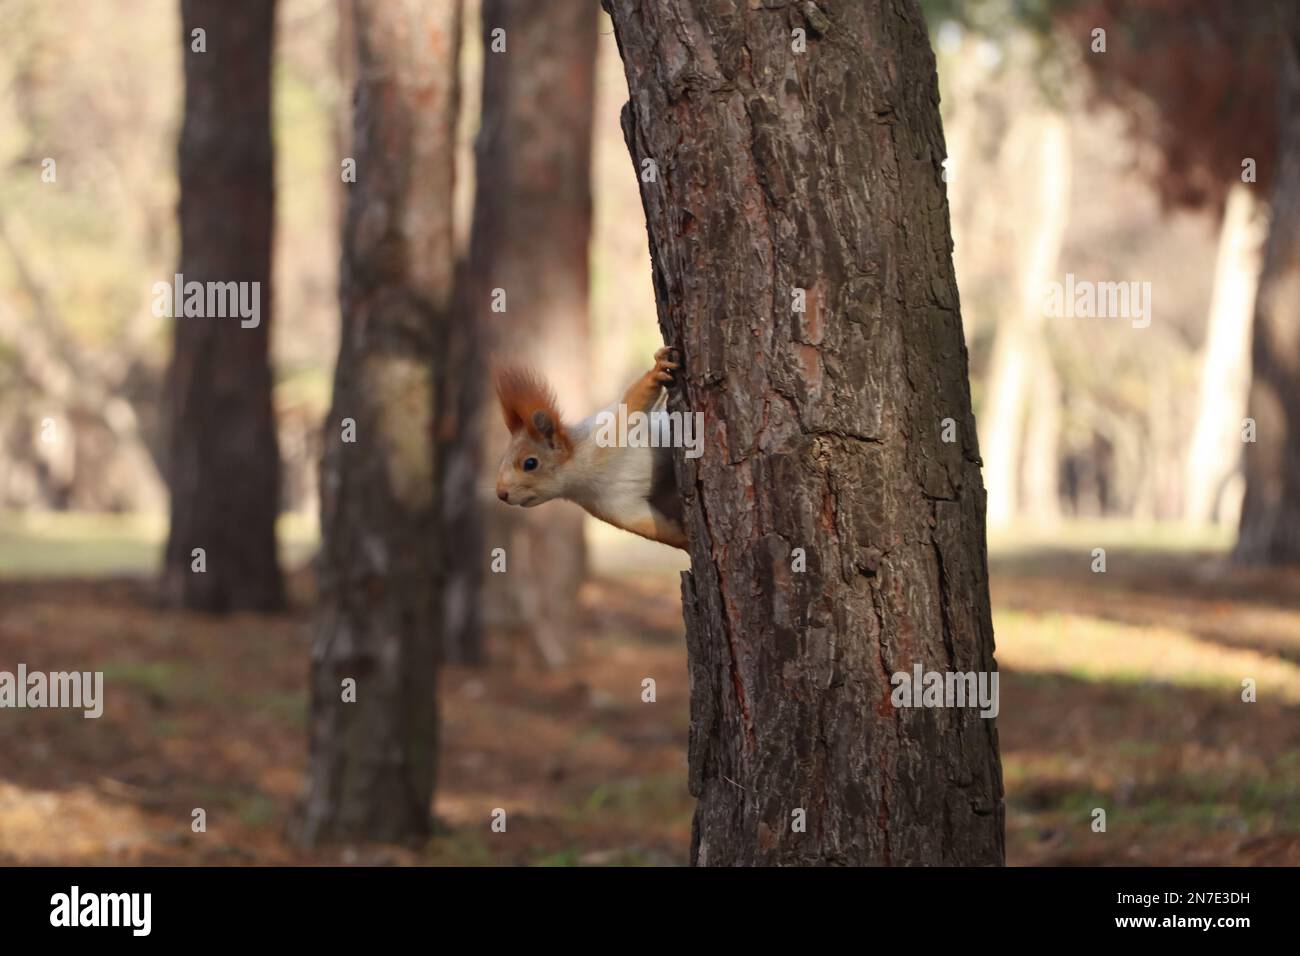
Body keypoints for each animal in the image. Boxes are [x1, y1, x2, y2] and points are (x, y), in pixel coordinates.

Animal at [492, 346, 688, 550]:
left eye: (530, 463)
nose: (501, 494)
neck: (583, 476)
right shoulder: (613, 506)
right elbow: (652, 527)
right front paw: (686, 541)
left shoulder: (606, 432)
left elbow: (633, 403)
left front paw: (657, 371)